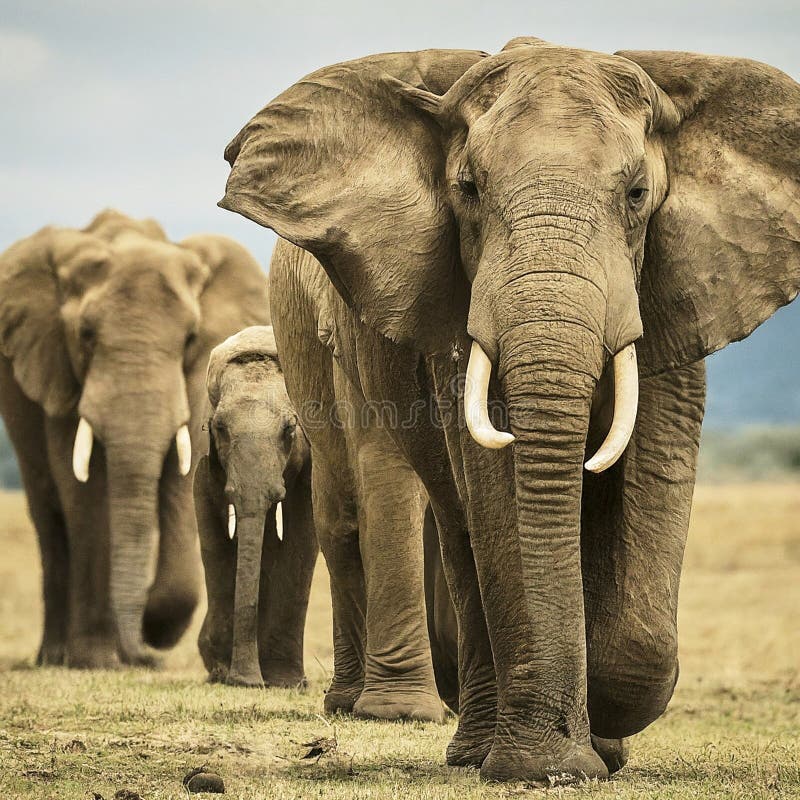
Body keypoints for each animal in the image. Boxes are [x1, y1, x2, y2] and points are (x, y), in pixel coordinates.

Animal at [0, 209, 270, 668]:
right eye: (85, 335)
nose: (144, 650)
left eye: (190, 339)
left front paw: (151, 623)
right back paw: (56, 657)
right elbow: (84, 490)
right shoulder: (60, 371)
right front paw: (96, 661)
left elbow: (183, 476)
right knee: (50, 518)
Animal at [194, 325, 318, 688]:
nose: (246, 682)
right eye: (219, 428)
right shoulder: (207, 460)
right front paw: (223, 673)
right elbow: (212, 530)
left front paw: (287, 682)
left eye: (289, 429)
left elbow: (302, 532)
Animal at [220, 40, 799, 783]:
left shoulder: (676, 290)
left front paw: (596, 739)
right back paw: (476, 750)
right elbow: (498, 487)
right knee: (454, 525)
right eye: (468, 190)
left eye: (637, 195)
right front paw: (550, 765)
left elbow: (653, 467)